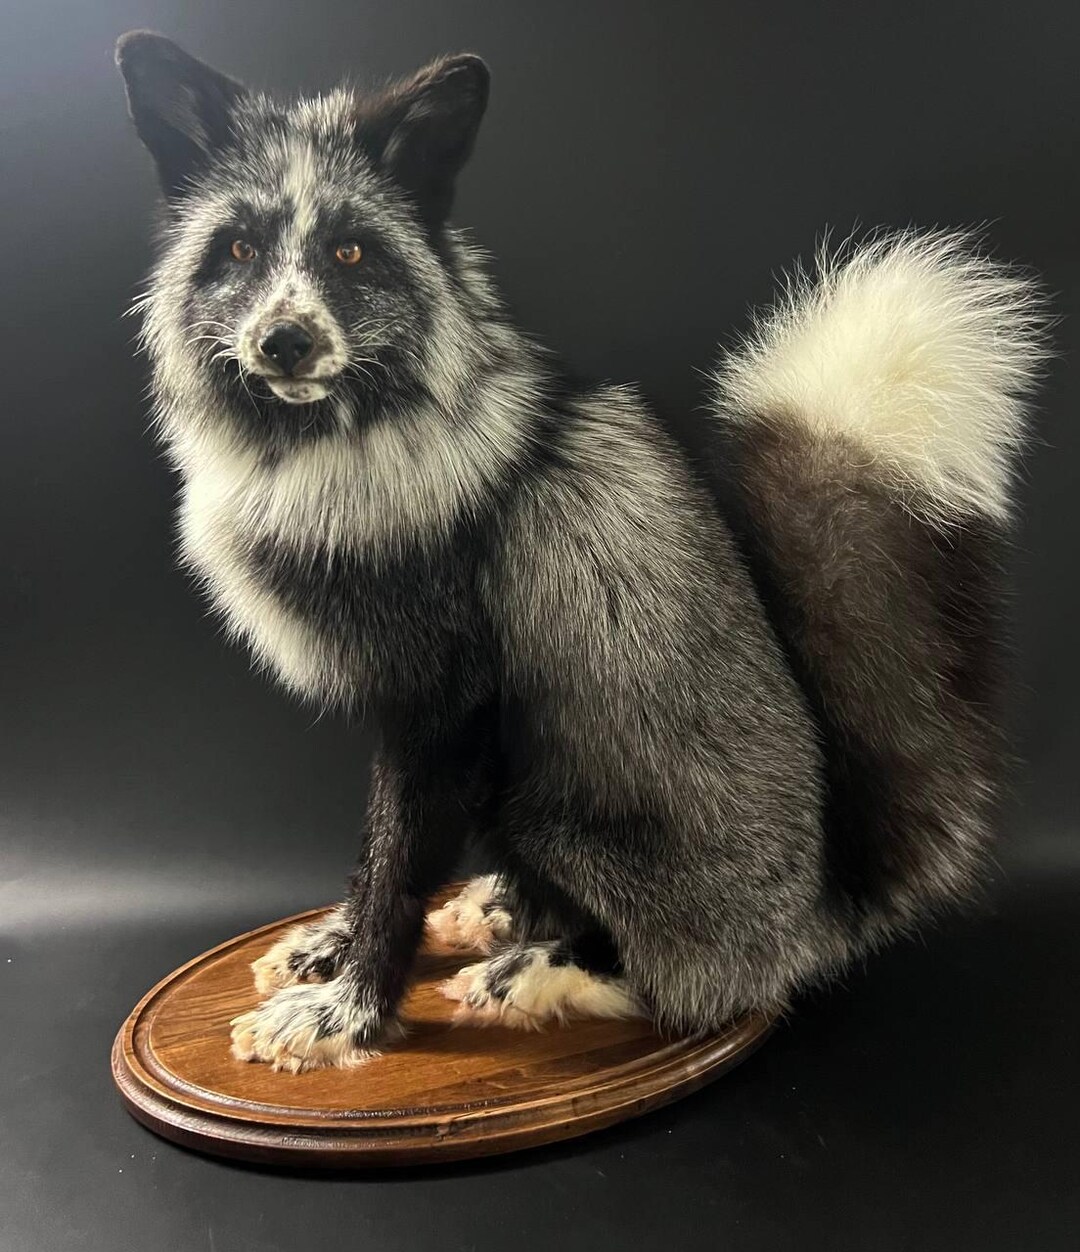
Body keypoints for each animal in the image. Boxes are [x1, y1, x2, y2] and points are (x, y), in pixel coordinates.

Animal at [116, 32, 1045, 1071]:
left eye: (350, 251)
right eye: (238, 248)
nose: (283, 341)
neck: (325, 452)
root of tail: (824, 912)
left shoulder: (444, 712)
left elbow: (395, 866)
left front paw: (348, 1011)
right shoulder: (401, 719)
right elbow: (369, 858)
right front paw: (333, 951)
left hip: (538, 802)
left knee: (670, 986)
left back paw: (528, 974)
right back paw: (496, 911)